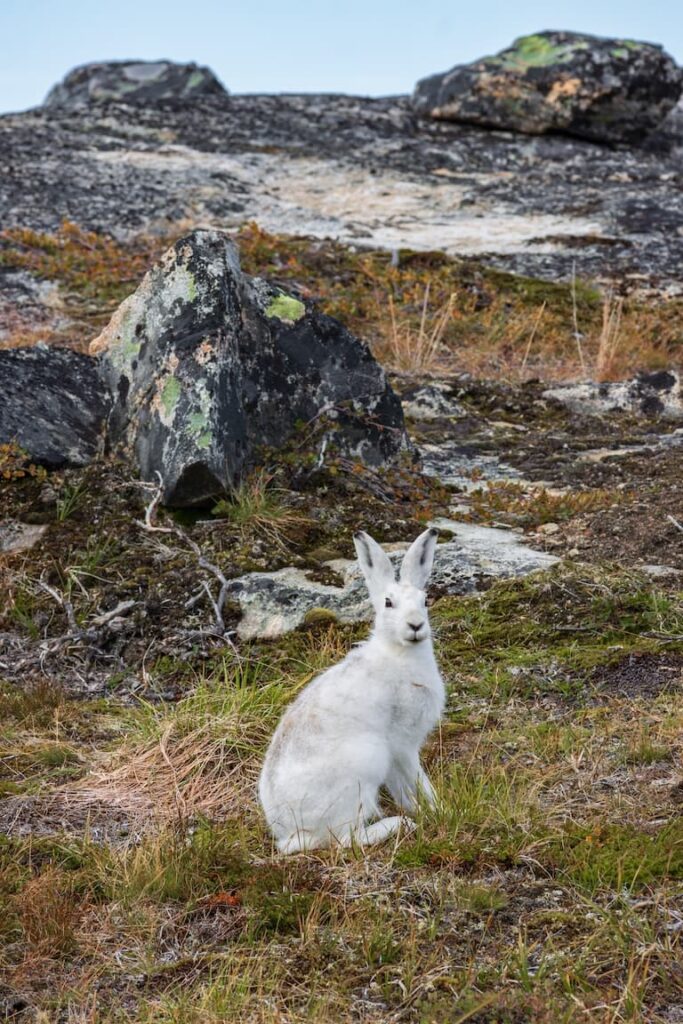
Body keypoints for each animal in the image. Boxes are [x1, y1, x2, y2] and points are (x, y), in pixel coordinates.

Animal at [259, 527, 445, 854]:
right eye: (388, 603)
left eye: (424, 601)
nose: (415, 626)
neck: (398, 652)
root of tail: (292, 833)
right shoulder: (401, 743)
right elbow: (418, 778)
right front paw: (438, 810)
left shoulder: (396, 756)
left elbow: (402, 787)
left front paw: (419, 809)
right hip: (365, 763)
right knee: (344, 839)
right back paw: (397, 825)